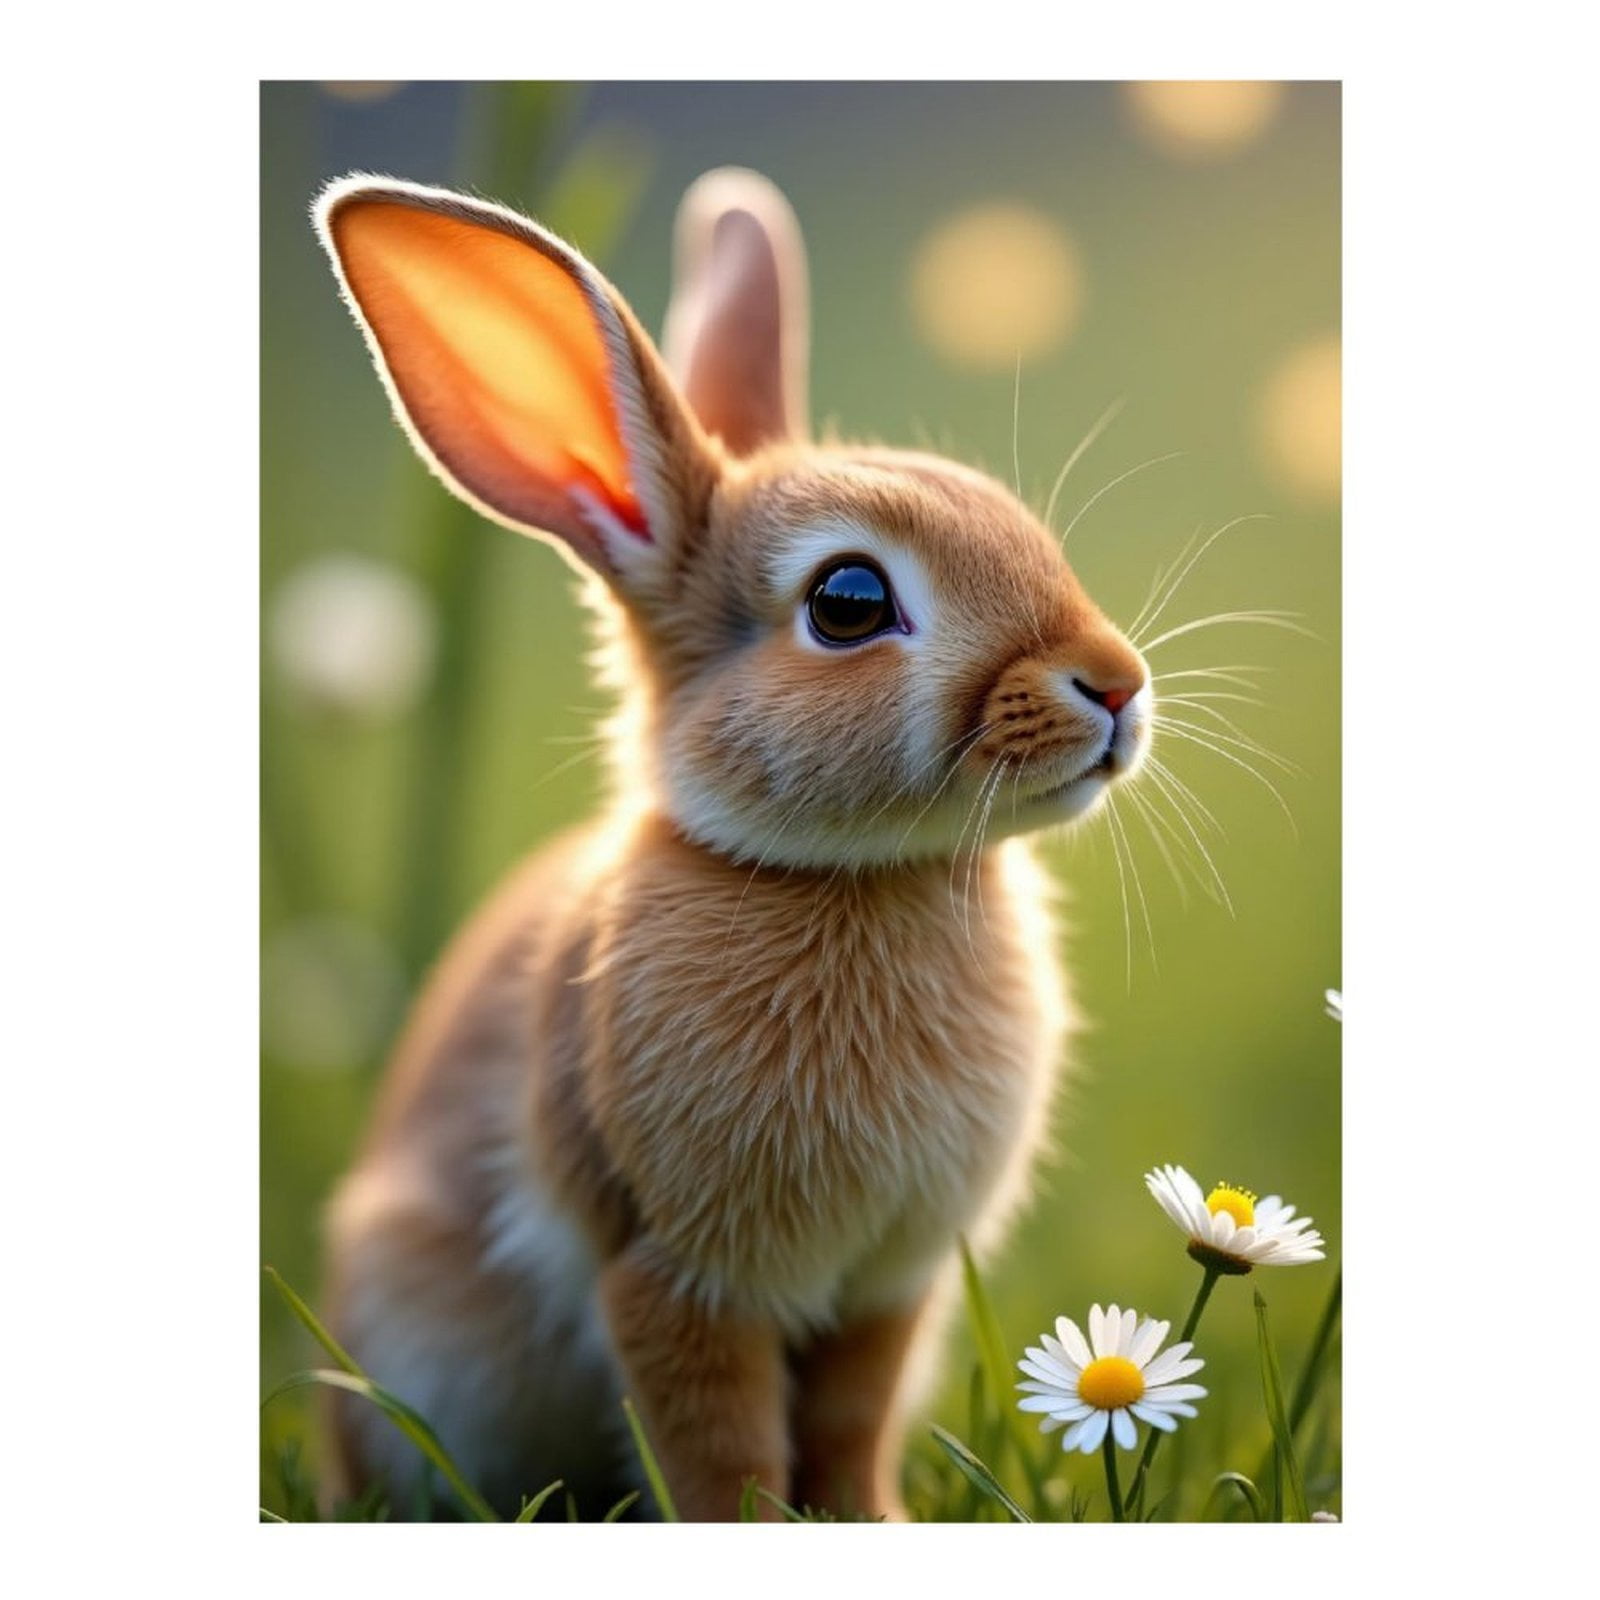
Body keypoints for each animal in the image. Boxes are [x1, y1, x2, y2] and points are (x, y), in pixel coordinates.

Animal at [310, 166, 1152, 1523]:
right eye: (848, 603)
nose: (1117, 685)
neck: (853, 876)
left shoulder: (886, 1285)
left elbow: (852, 1420)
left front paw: (872, 1520)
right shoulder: (675, 1273)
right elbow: (720, 1445)